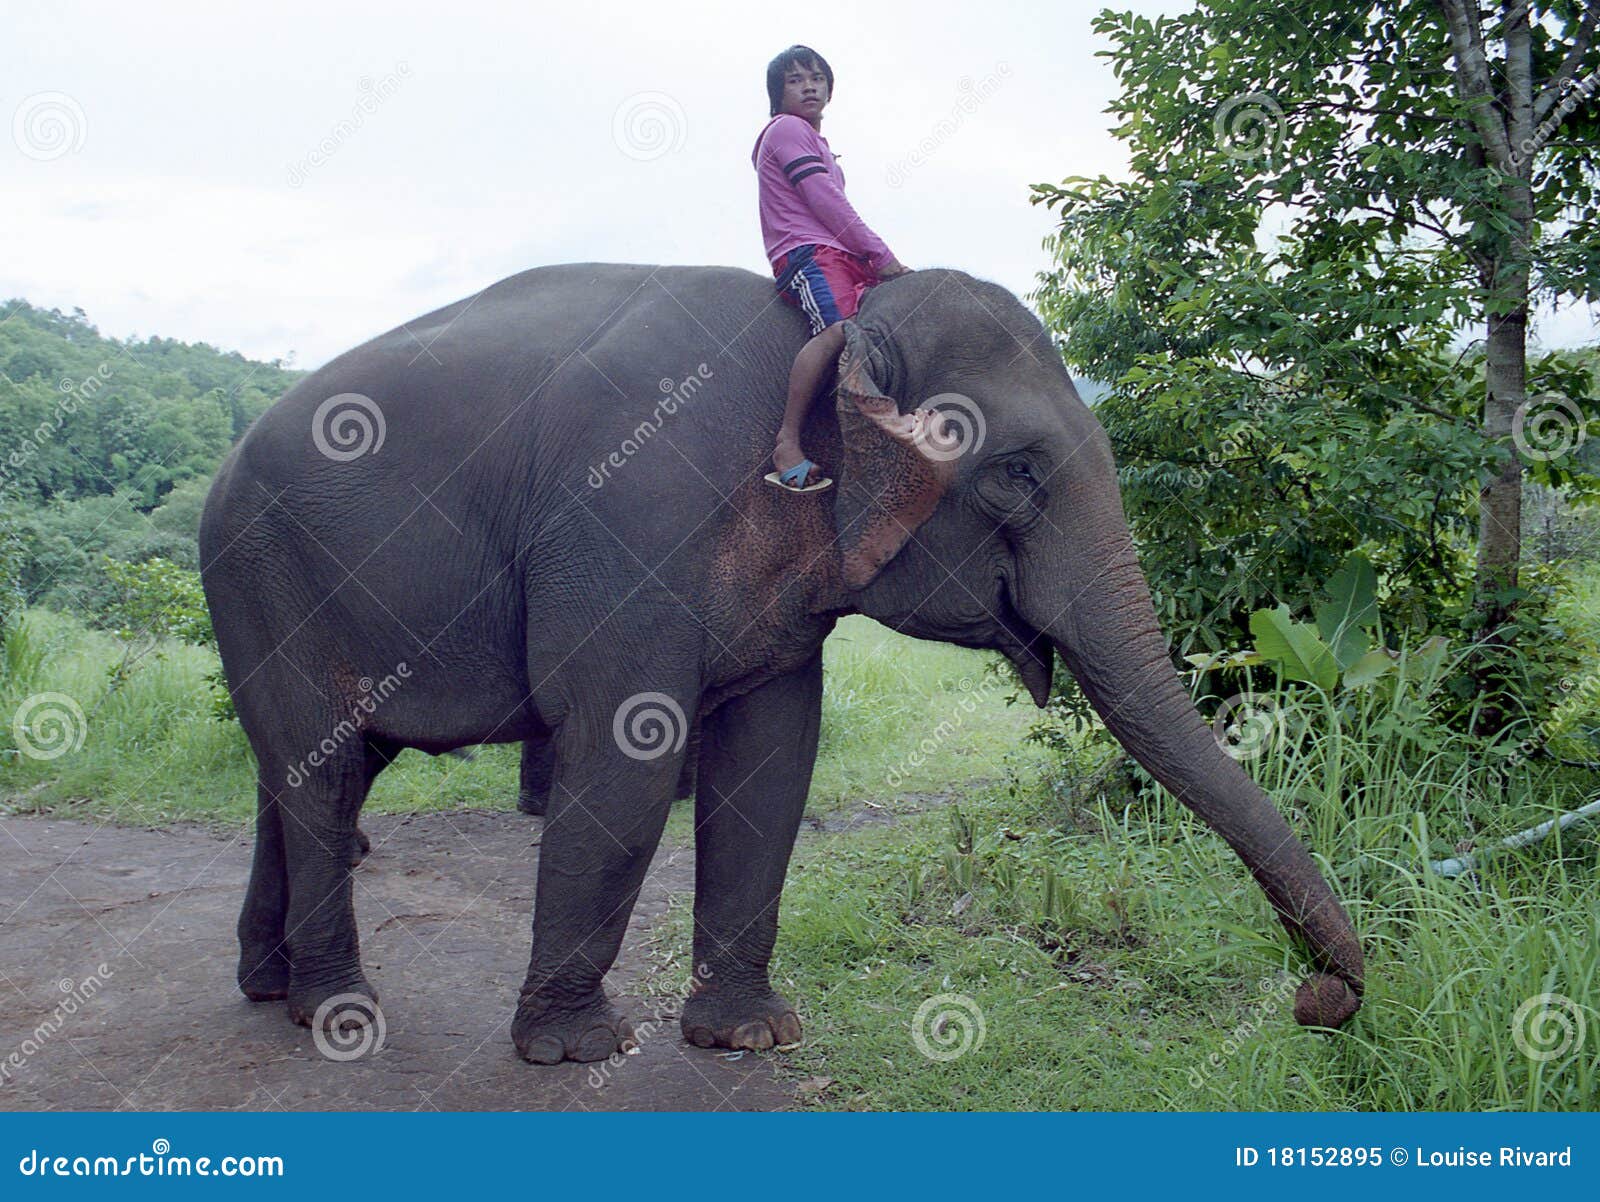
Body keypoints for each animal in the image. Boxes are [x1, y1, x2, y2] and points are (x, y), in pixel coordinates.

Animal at [199, 263, 1363, 1064]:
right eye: (1020, 474)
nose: (1319, 1002)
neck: (839, 333)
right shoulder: (628, 515)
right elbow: (627, 753)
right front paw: (580, 1051)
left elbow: (773, 756)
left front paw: (750, 1037)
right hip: (257, 569)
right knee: (321, 769)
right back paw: (340, 1014)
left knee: (307, 772)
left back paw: (273, 991)